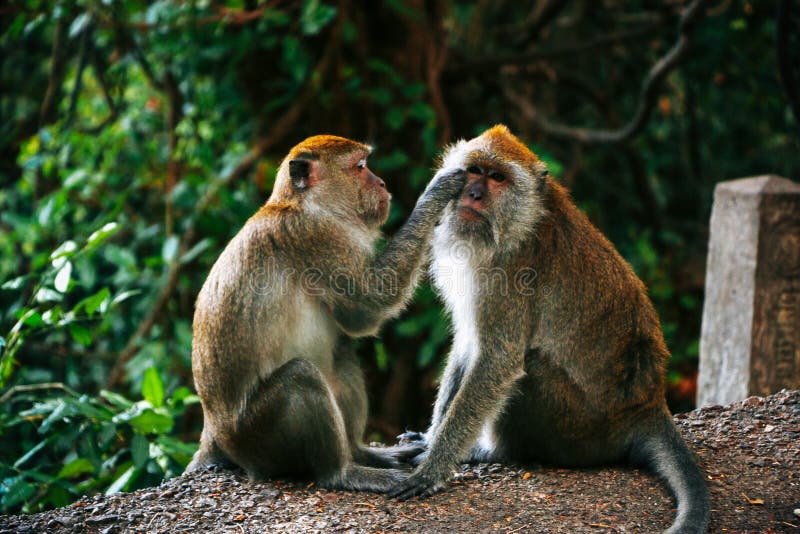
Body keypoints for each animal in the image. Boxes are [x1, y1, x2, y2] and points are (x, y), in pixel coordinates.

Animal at [185, 135, 466, 492]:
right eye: (360, 167)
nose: (382, 183)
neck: (305, 204)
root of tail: (213, 432)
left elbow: (353, 322)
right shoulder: (318, 235)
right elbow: (370, 304)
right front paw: (437, 191)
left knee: (342, 350)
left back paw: (363, 453)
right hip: (258, 437)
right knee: (301, 375)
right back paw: (343, 472)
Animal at [388, 125, 710, 533]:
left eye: (497, 178)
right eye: (474, 171)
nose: (474, 194)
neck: (516, 224)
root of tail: (647, 406)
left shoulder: (510, 273)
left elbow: (497, 361)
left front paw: (432, 468)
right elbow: (467, 345)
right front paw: (430, 440)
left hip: (576, 429)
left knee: (531, 367)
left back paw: (493, 451)